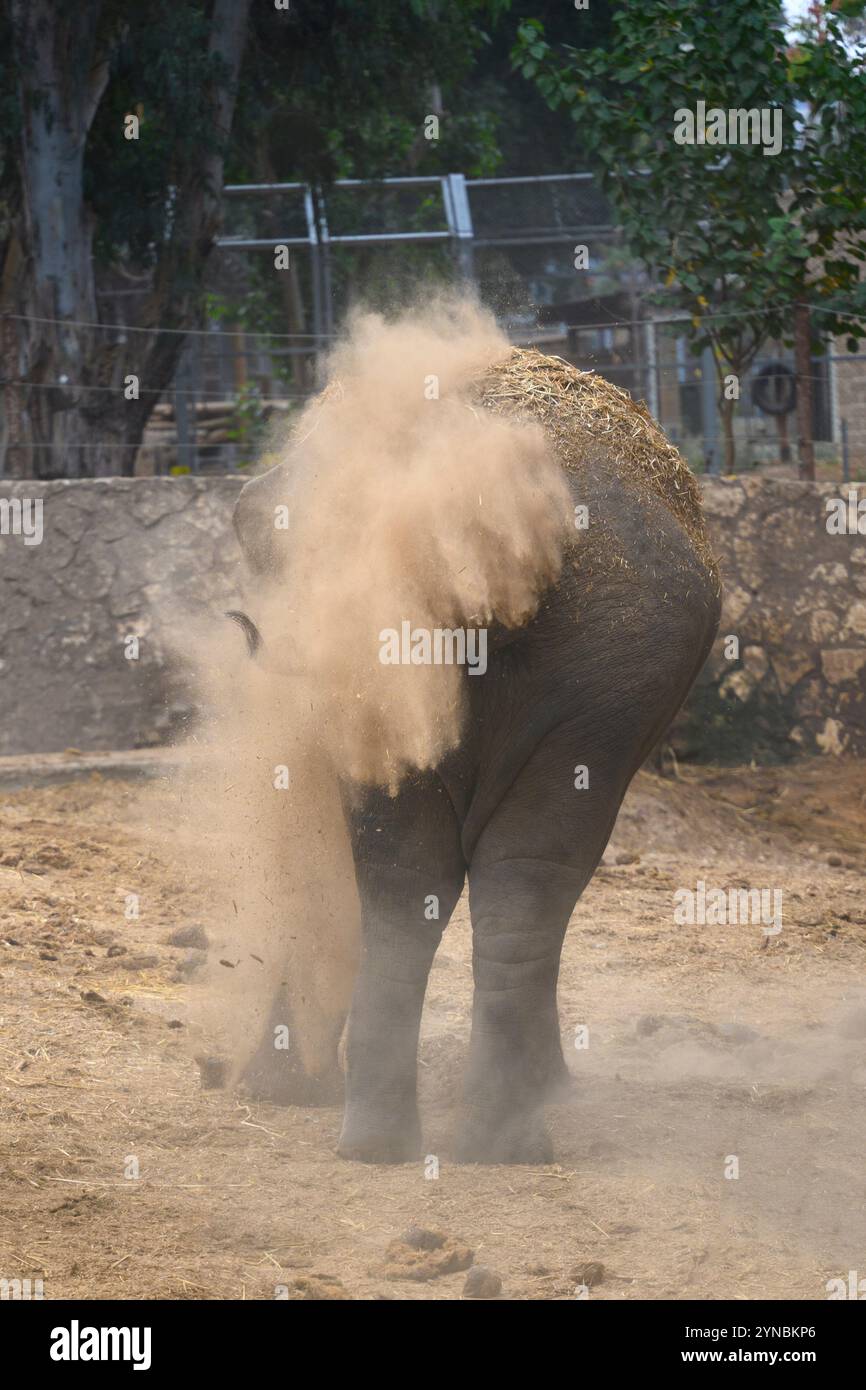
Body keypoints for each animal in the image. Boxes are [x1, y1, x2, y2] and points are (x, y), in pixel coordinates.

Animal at [227, 351, 721, 1165]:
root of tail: (472, 525)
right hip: (601, 668)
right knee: (517, 871)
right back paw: (482, 1141)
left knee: (433, 870)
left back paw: (409, 1141)